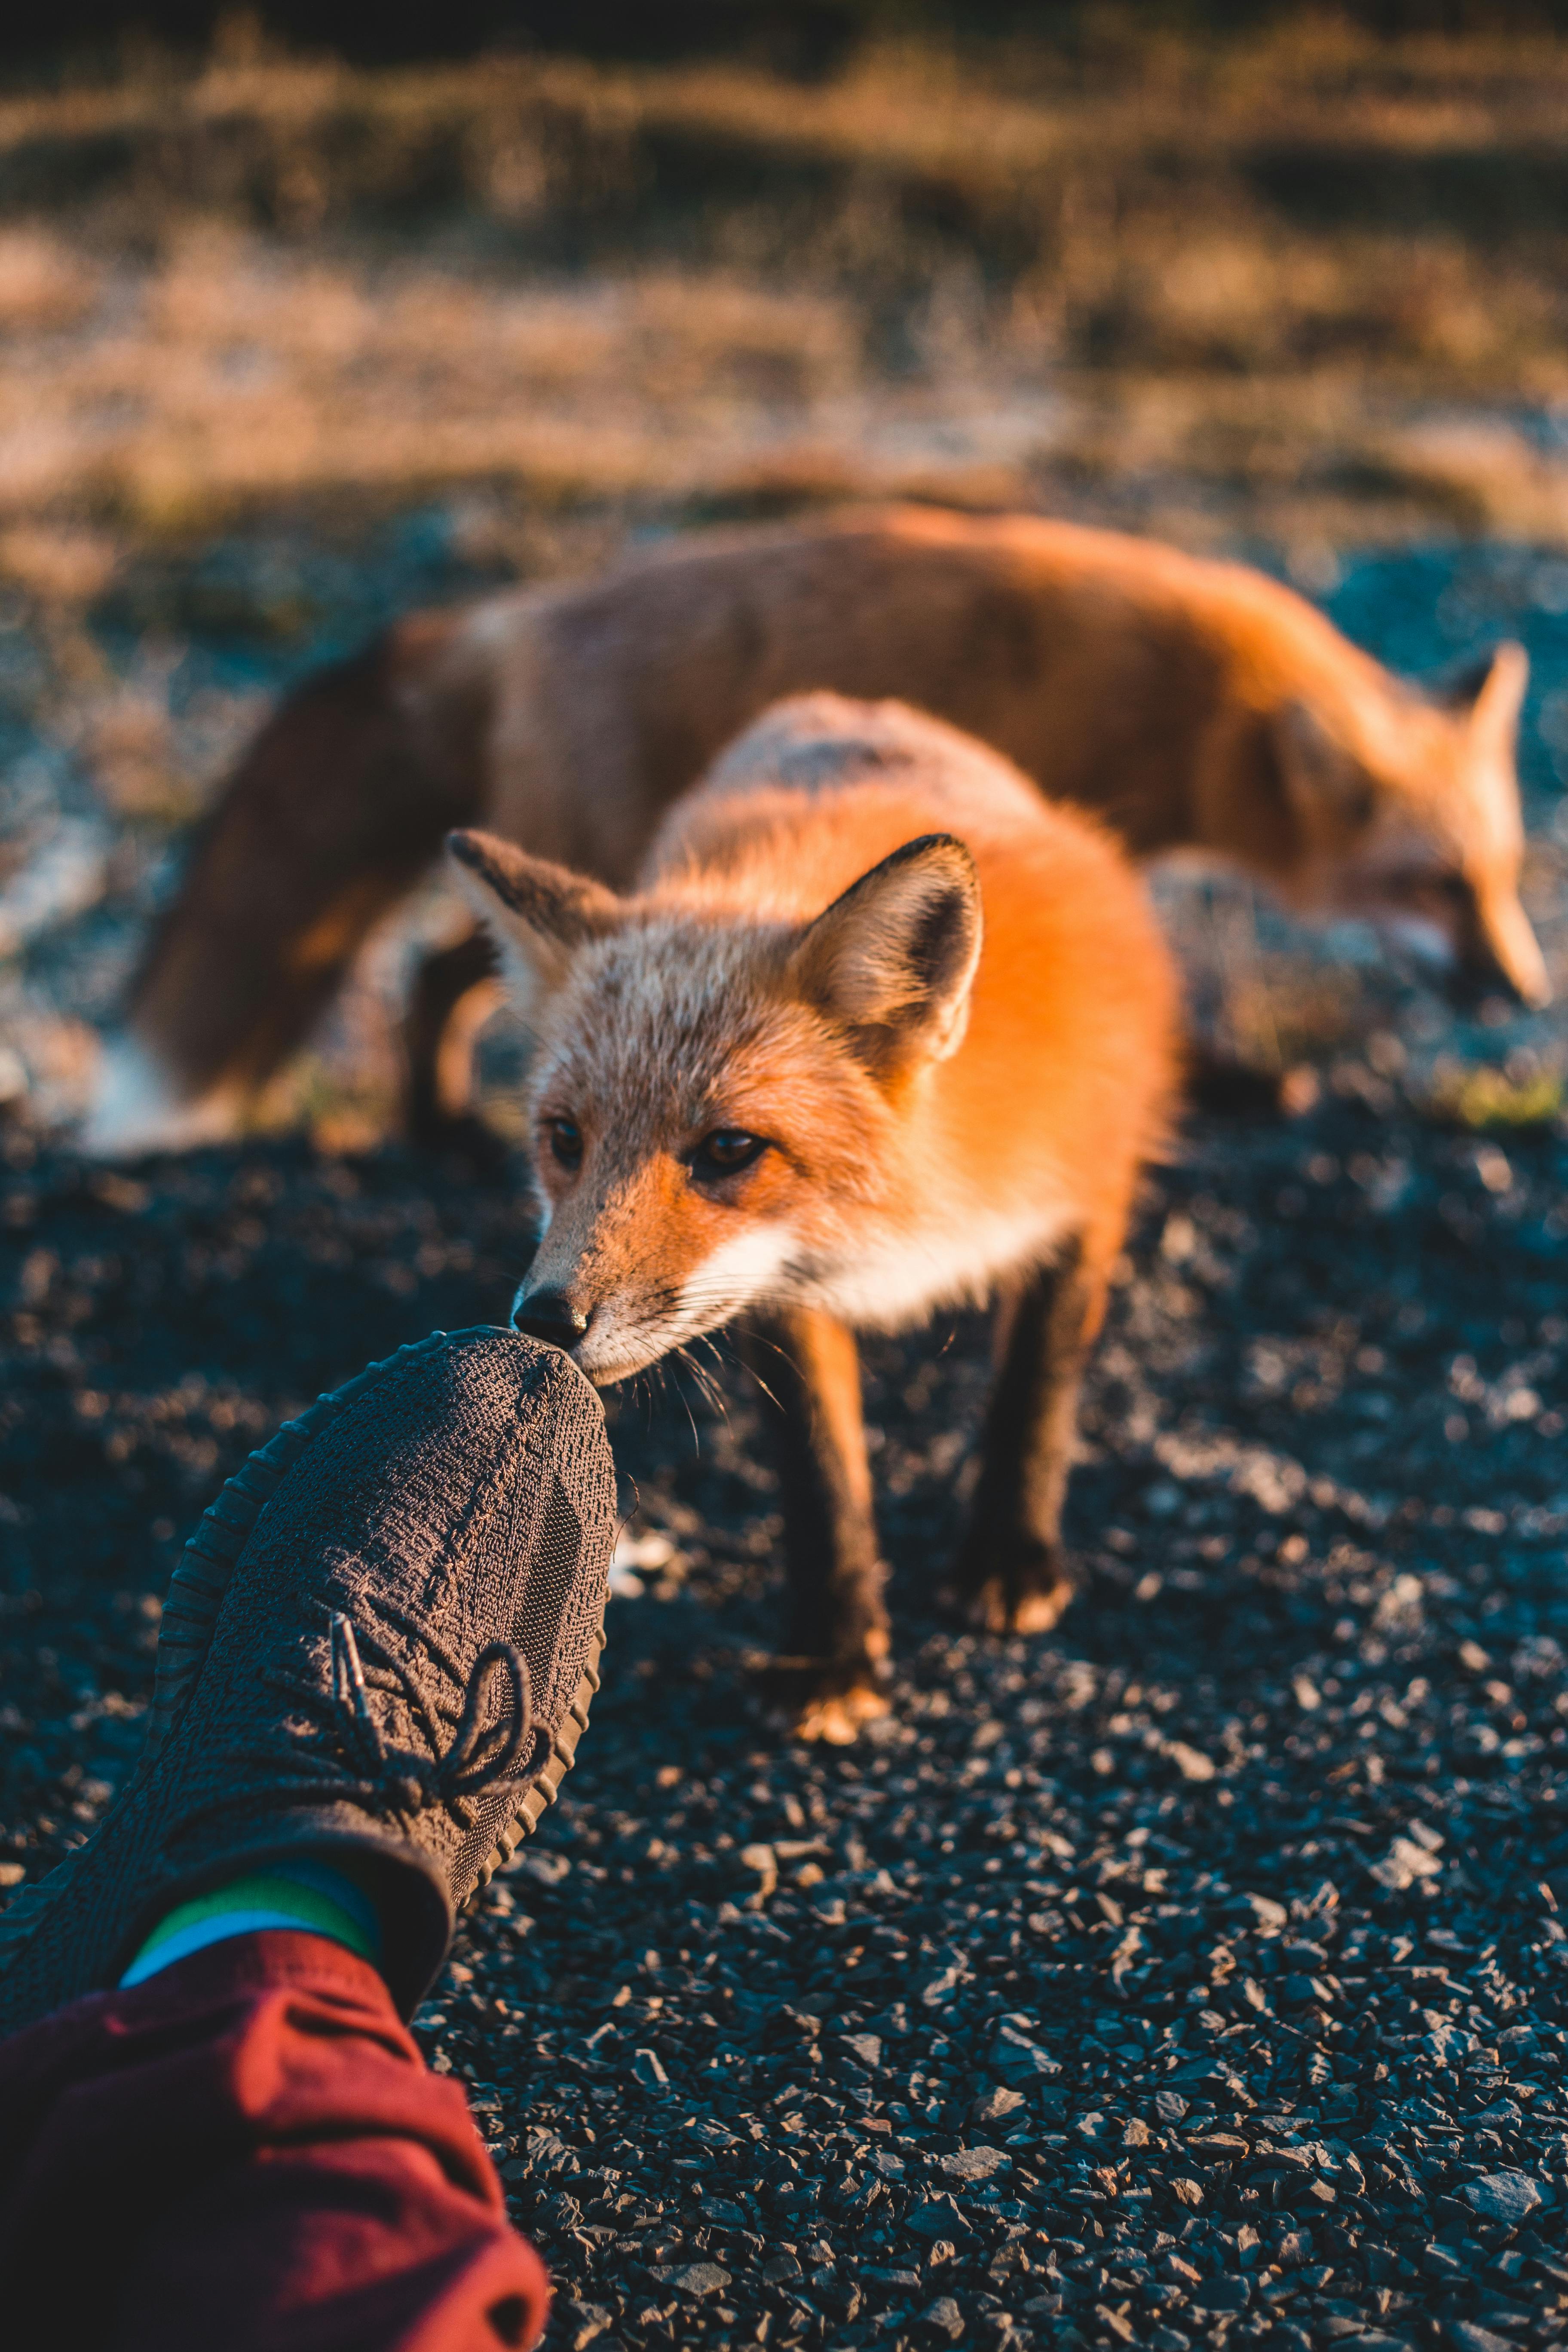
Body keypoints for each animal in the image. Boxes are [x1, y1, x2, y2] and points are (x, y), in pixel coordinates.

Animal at [87, 501, 1546, 1154]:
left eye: (1501, 877)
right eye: (1434, 886)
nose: (1527, 993)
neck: (1197, 704)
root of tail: (510, 617)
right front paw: (1229, 1080)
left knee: (444, 971)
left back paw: (434, 1118)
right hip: (607, 860)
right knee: (447, 975)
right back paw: (437, 1126)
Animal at [448, 693, 1179, 1743]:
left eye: (727, 1150)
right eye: (563, 1138)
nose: (546, 1321)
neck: (905, 1217)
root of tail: (844, 705)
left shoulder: (1090, 1187)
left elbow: (1037, 1383)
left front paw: (1008, 1552)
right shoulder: (780, 1290)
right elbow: (820, 1472)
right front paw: (832, 1650)